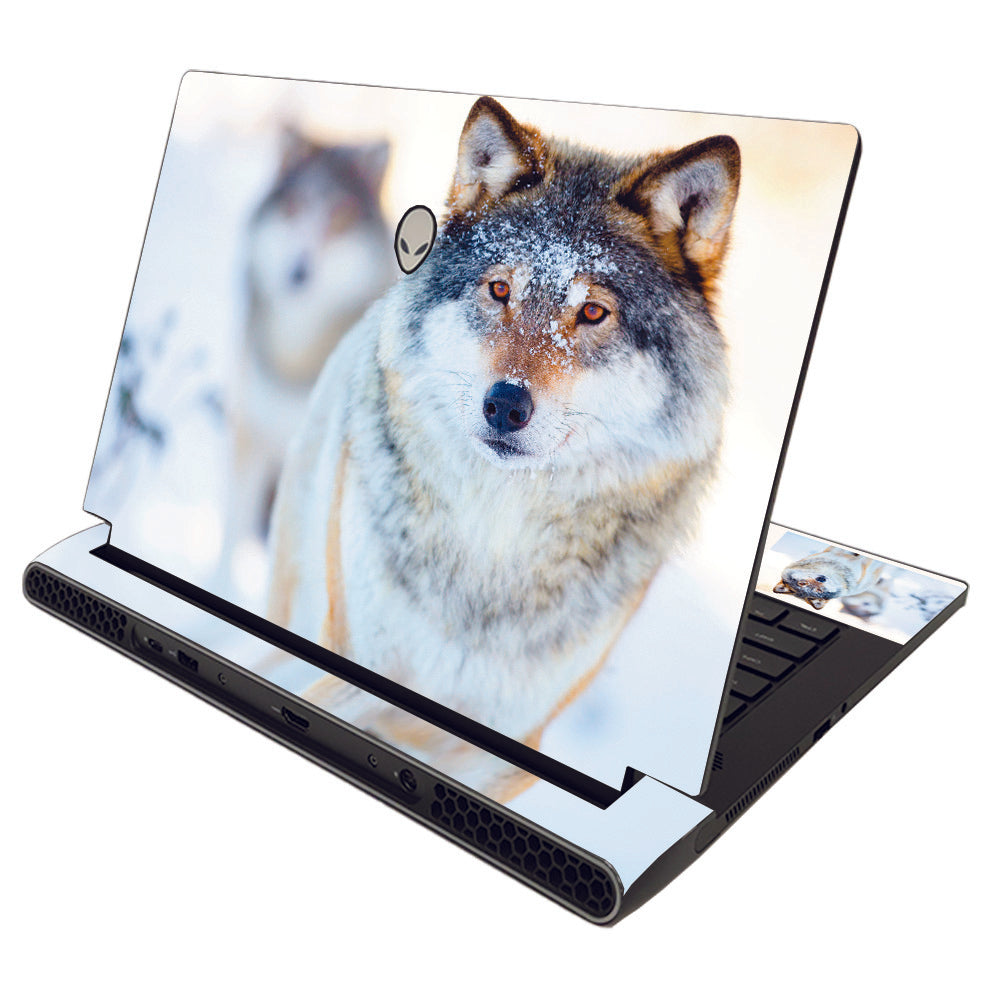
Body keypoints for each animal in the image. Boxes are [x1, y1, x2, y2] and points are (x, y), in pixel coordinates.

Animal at [266, 98, 740, 799]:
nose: (506, 405)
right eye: (499, 290)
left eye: (593, 312)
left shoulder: (507, 759)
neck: (494, 553)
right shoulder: (340, 672)